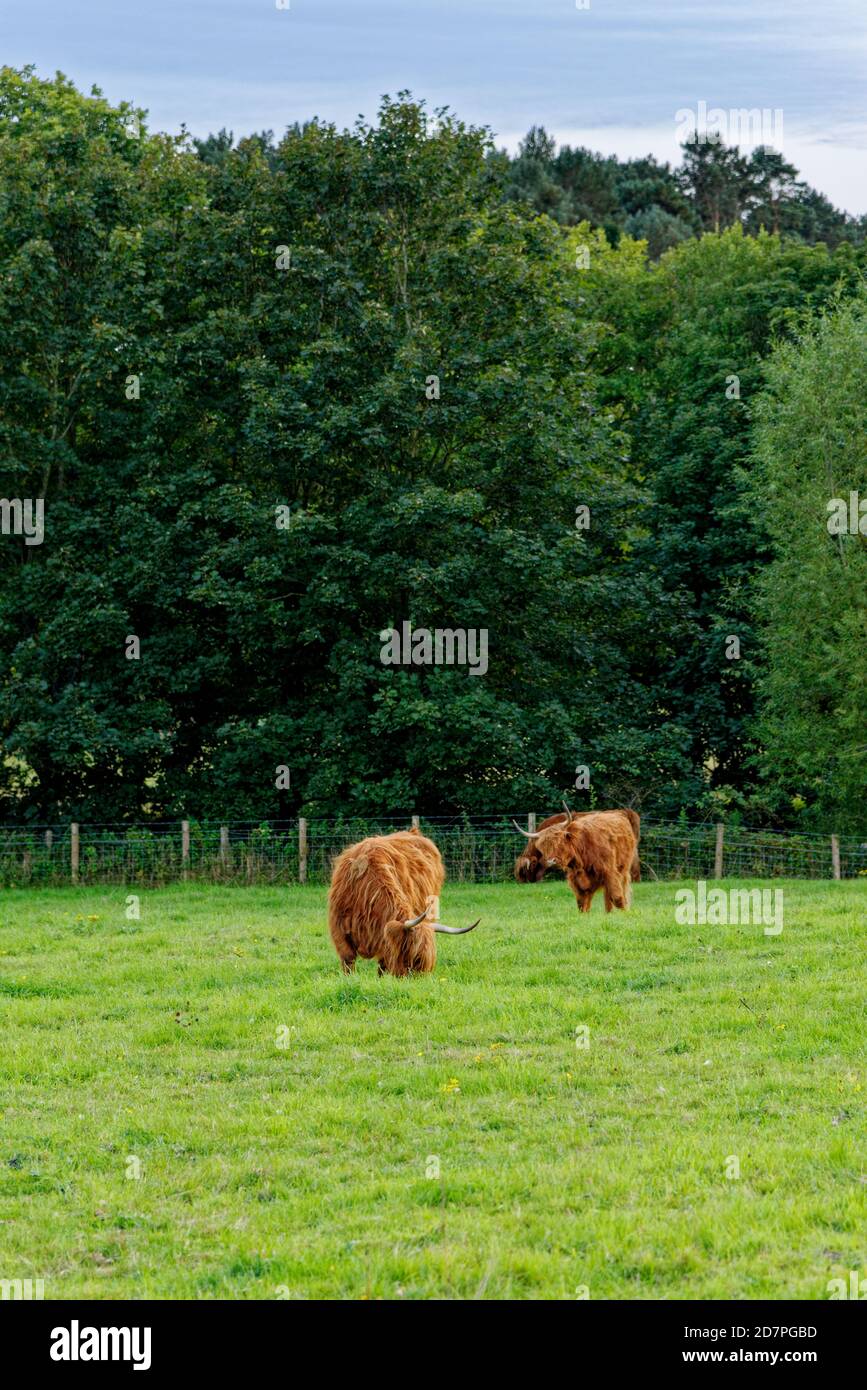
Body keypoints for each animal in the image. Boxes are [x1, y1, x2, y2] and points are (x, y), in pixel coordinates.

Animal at [328, 827, 479, 977]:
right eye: (412, 957)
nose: (418, 979)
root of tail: (414, 832)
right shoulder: (339, 928)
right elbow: (348, 960)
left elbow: (383, 964)